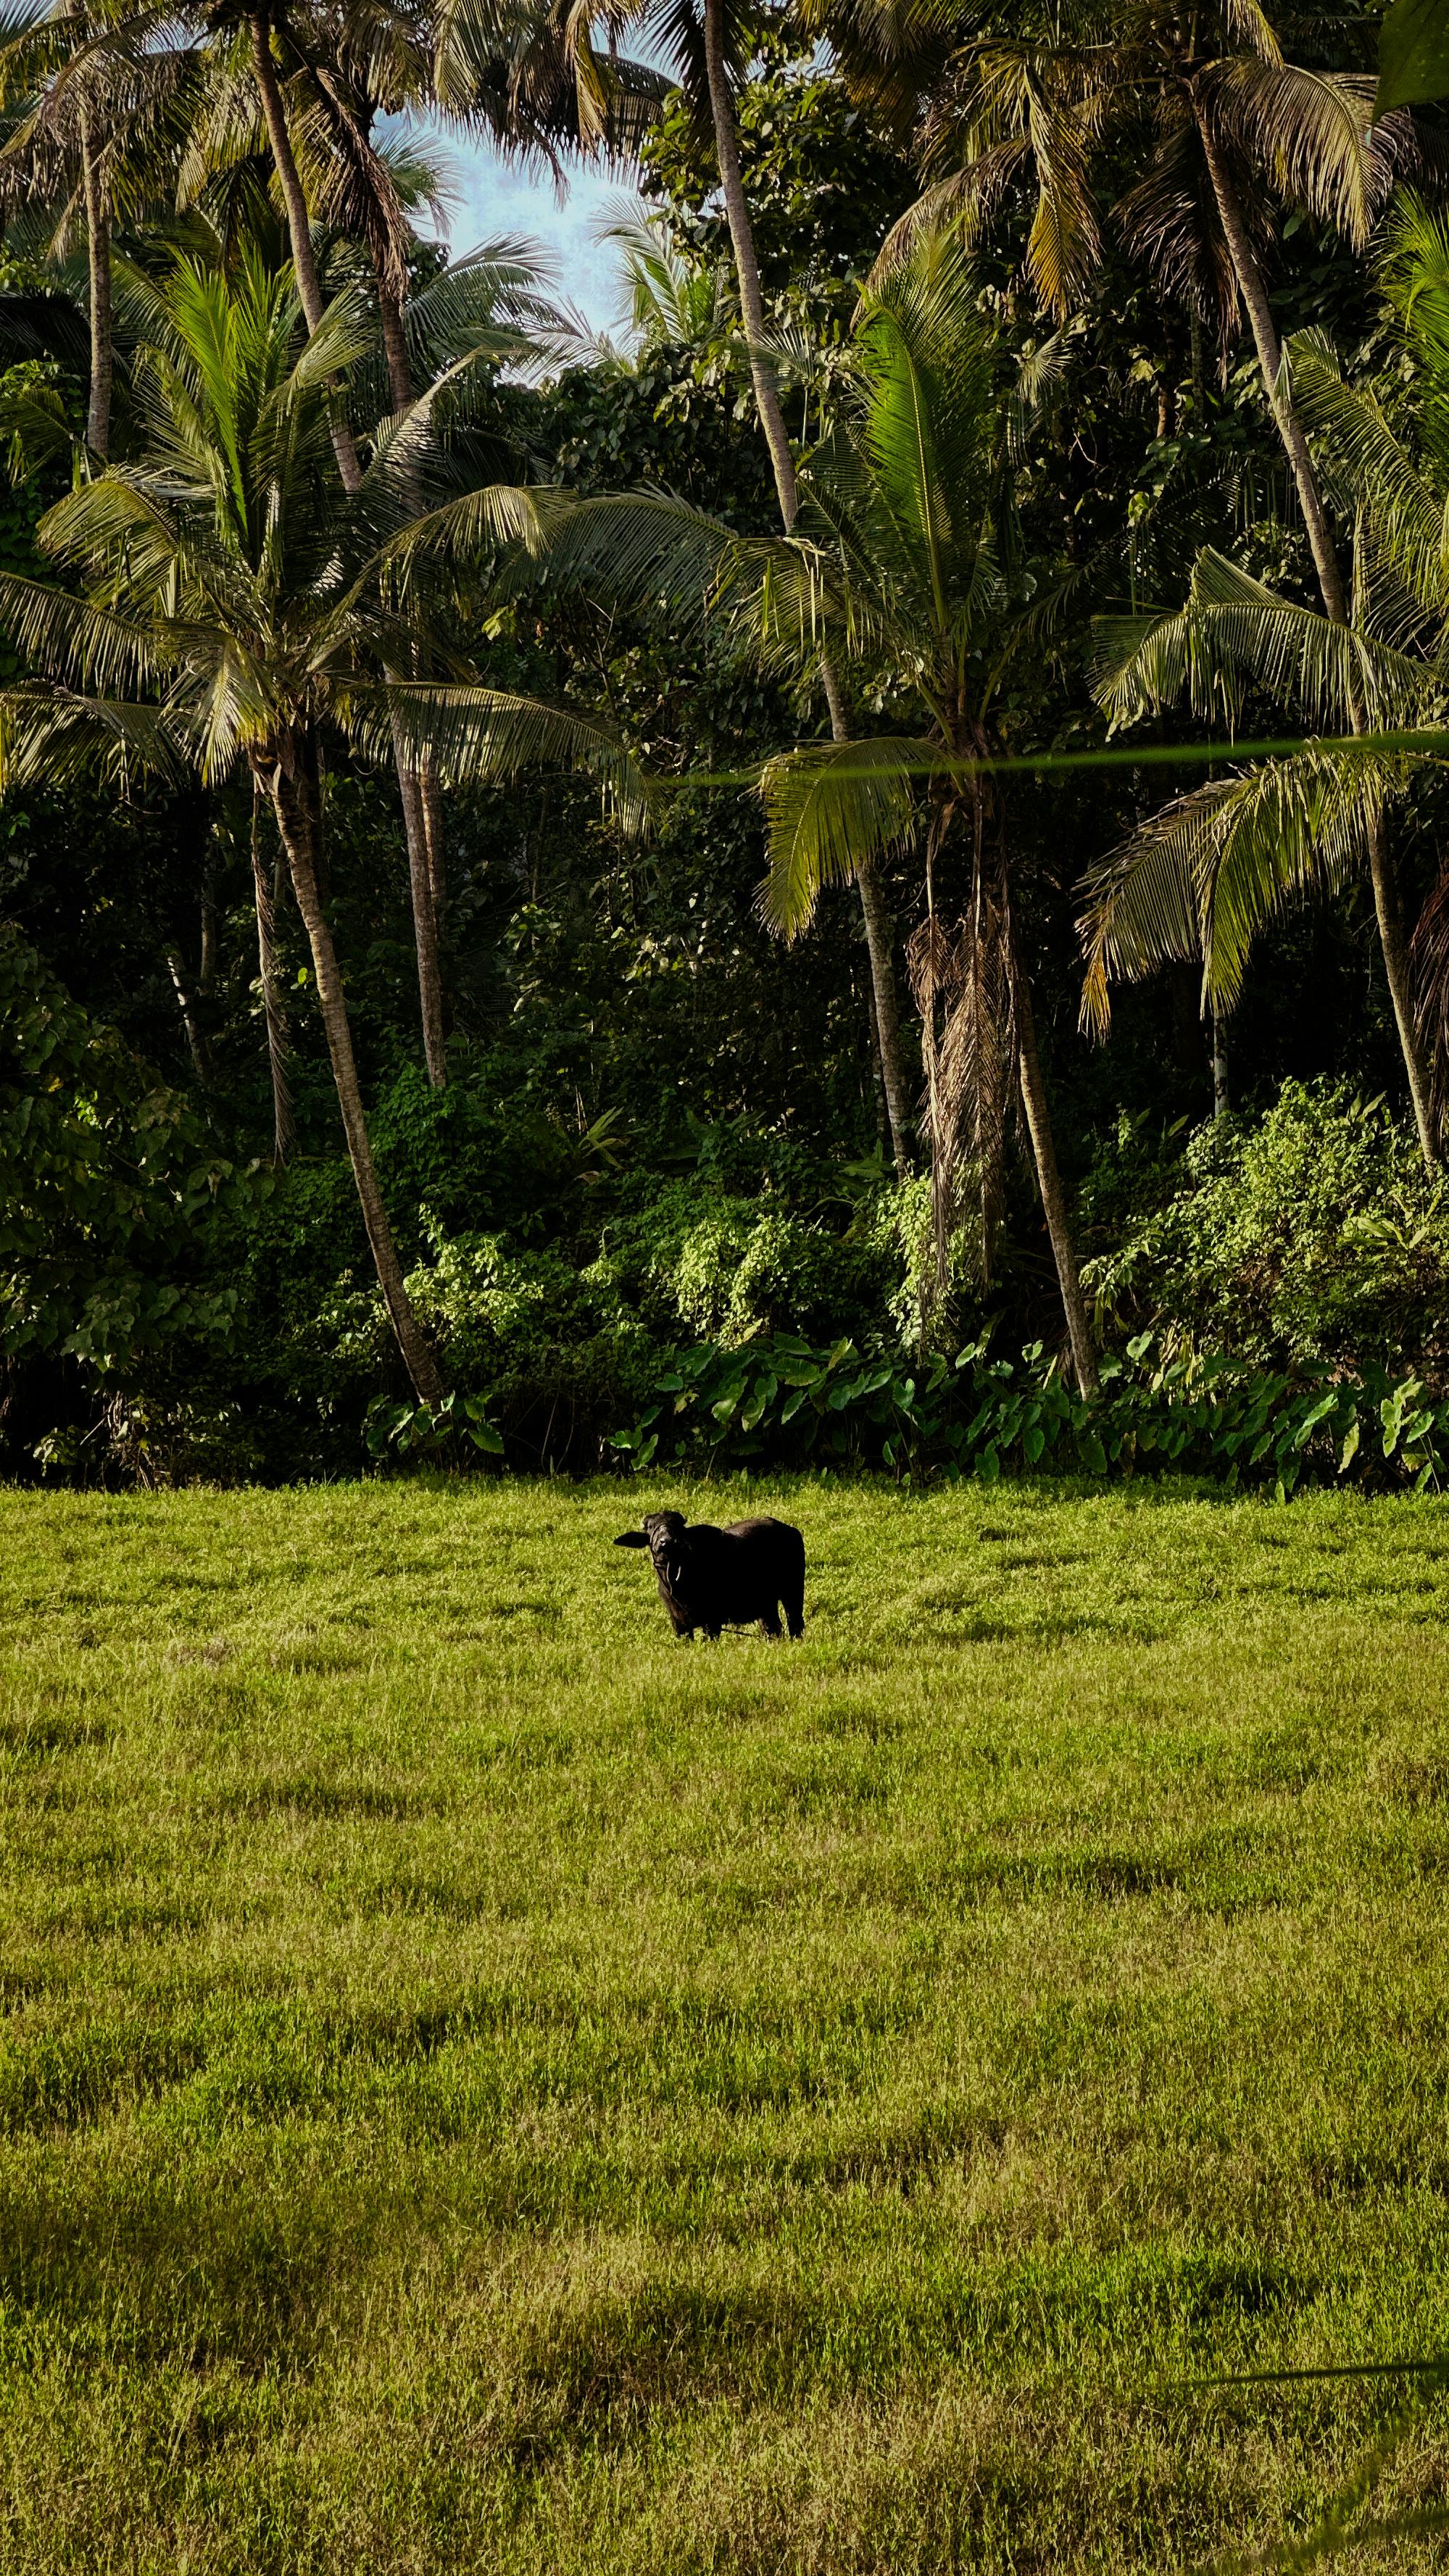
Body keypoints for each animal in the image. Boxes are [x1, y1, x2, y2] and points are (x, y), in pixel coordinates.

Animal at [615, 1509, 806, 1641]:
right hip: (766, 1604)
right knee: (772, 1628)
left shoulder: (712, 1621)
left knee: (795, 1623)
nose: (666, 1542)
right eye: (651, 1527)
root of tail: (791, 1531)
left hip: (793, 1592)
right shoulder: (679, 1625)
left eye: (678, 1527)